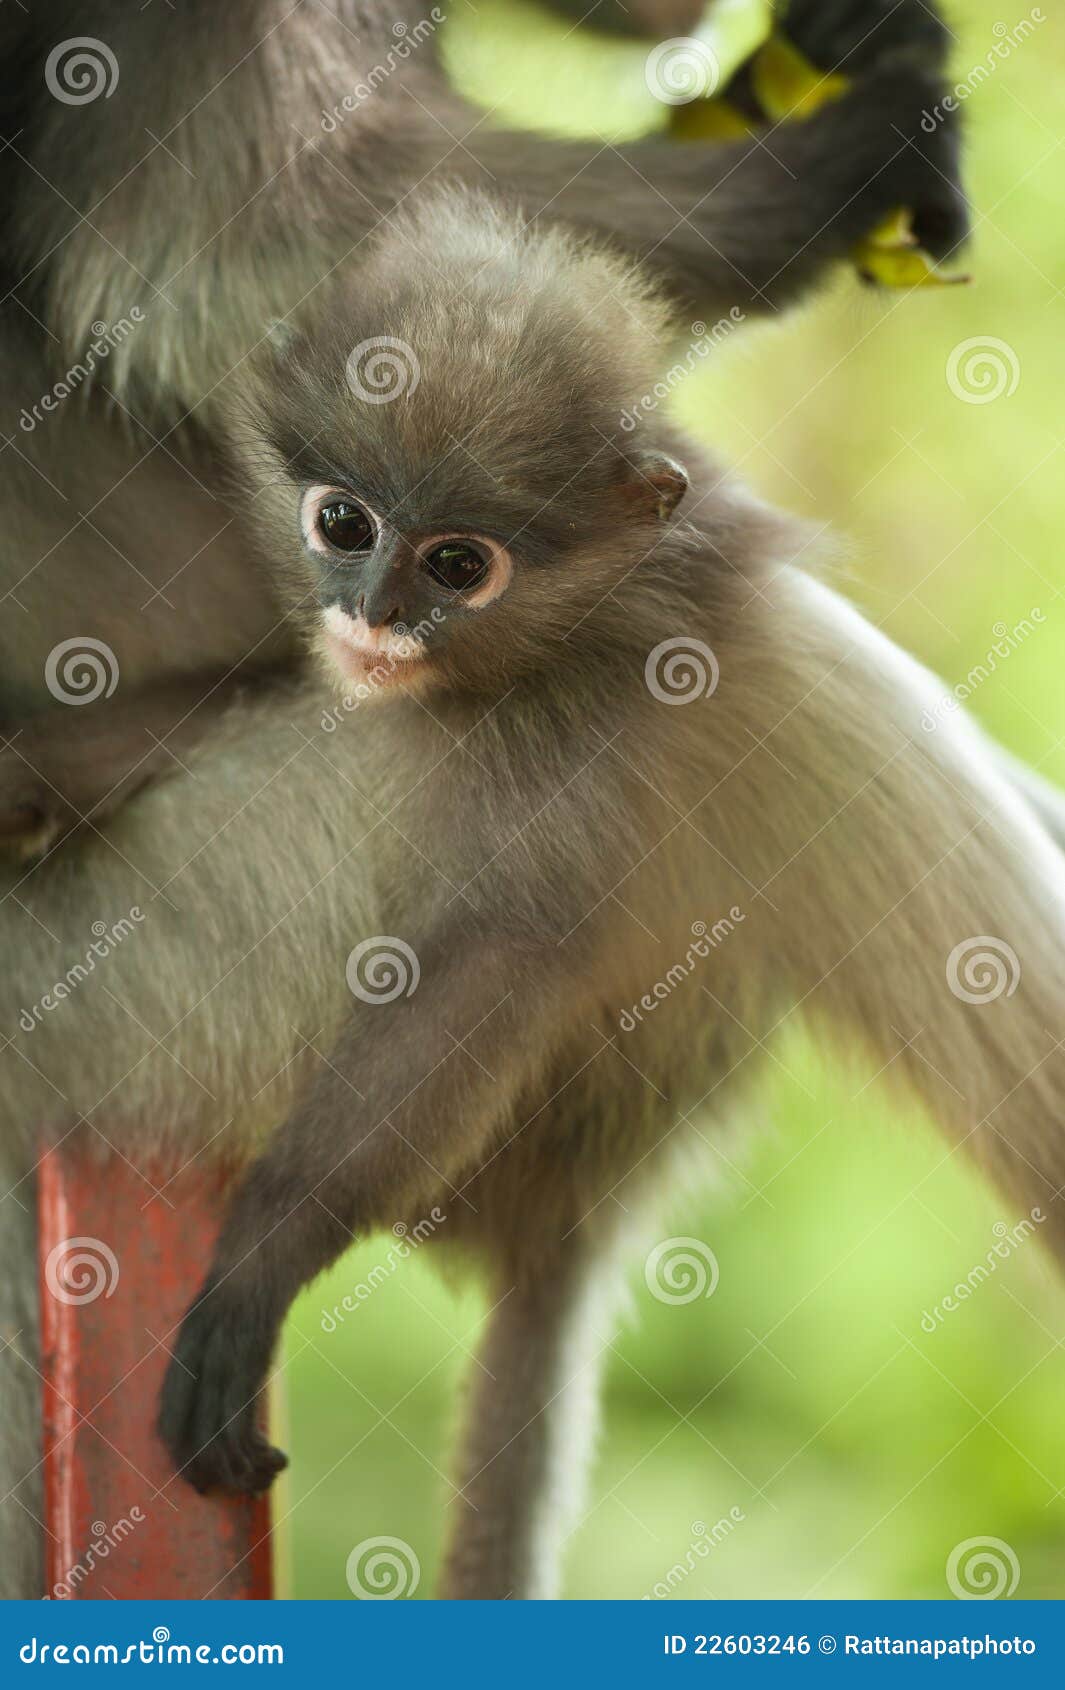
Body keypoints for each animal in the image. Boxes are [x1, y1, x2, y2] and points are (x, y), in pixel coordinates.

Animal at [0, 0, 1012, 1598]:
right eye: (346, 522)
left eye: (458, 563)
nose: (372, 611)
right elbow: (241, 264)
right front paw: (837, 159)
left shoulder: (578, 743)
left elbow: (500, 956)